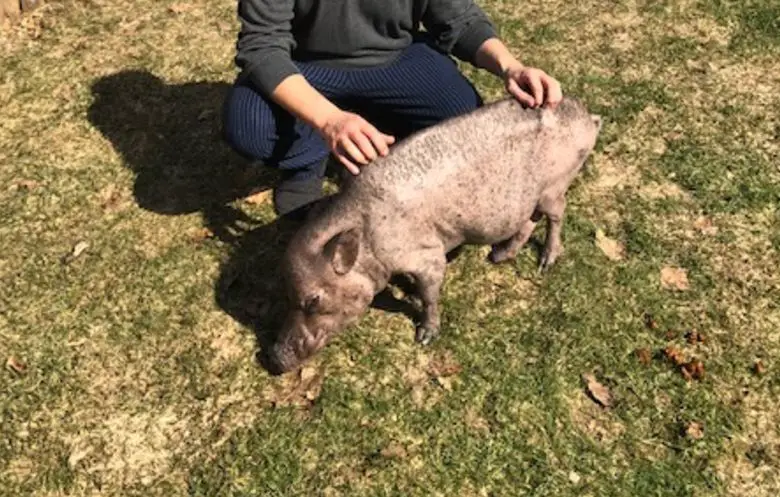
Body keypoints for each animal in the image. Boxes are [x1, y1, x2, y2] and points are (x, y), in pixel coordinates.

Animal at [263, 95, 602, 375]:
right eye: (286, 296)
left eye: (313, 300)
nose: (274, 359)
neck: (370, 237)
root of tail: (588, 117)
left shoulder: (428, 255)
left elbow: (429, 295)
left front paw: (424, 337)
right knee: (530, 221)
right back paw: (497, 256)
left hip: (555, 186)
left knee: (556, 215)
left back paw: (546, 262)